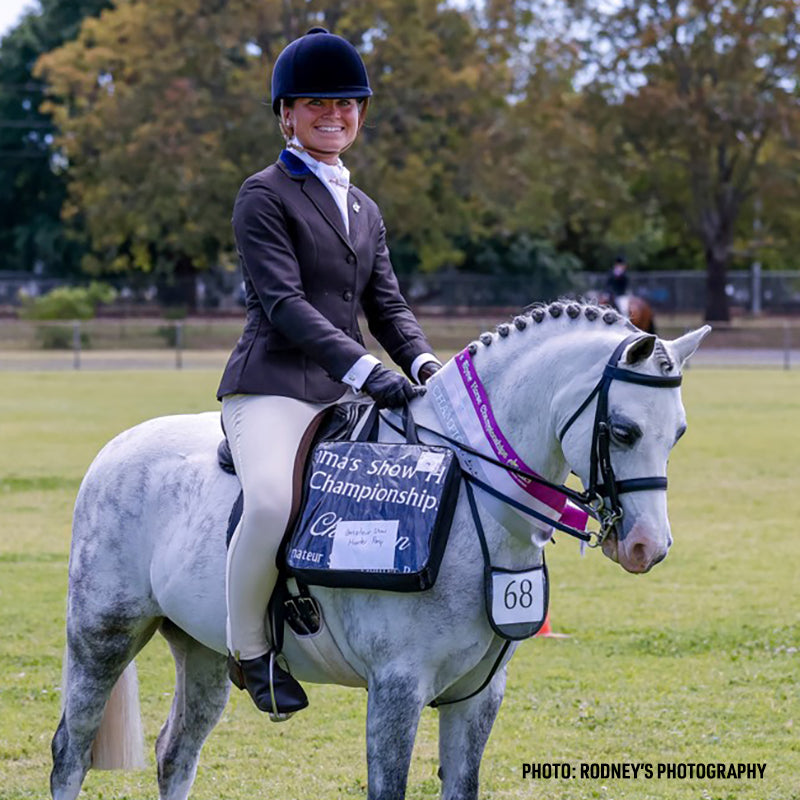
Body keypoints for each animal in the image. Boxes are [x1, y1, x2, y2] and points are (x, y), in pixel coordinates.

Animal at [51, 301, 709, 800]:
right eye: (622, 431)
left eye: (679, 433)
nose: (648, 546)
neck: (470, 489)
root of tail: (116, 447)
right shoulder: (398, 688)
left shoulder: (478, 693)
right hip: (103, 635)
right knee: (70, 751)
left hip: (204, 648)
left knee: (176, 752)